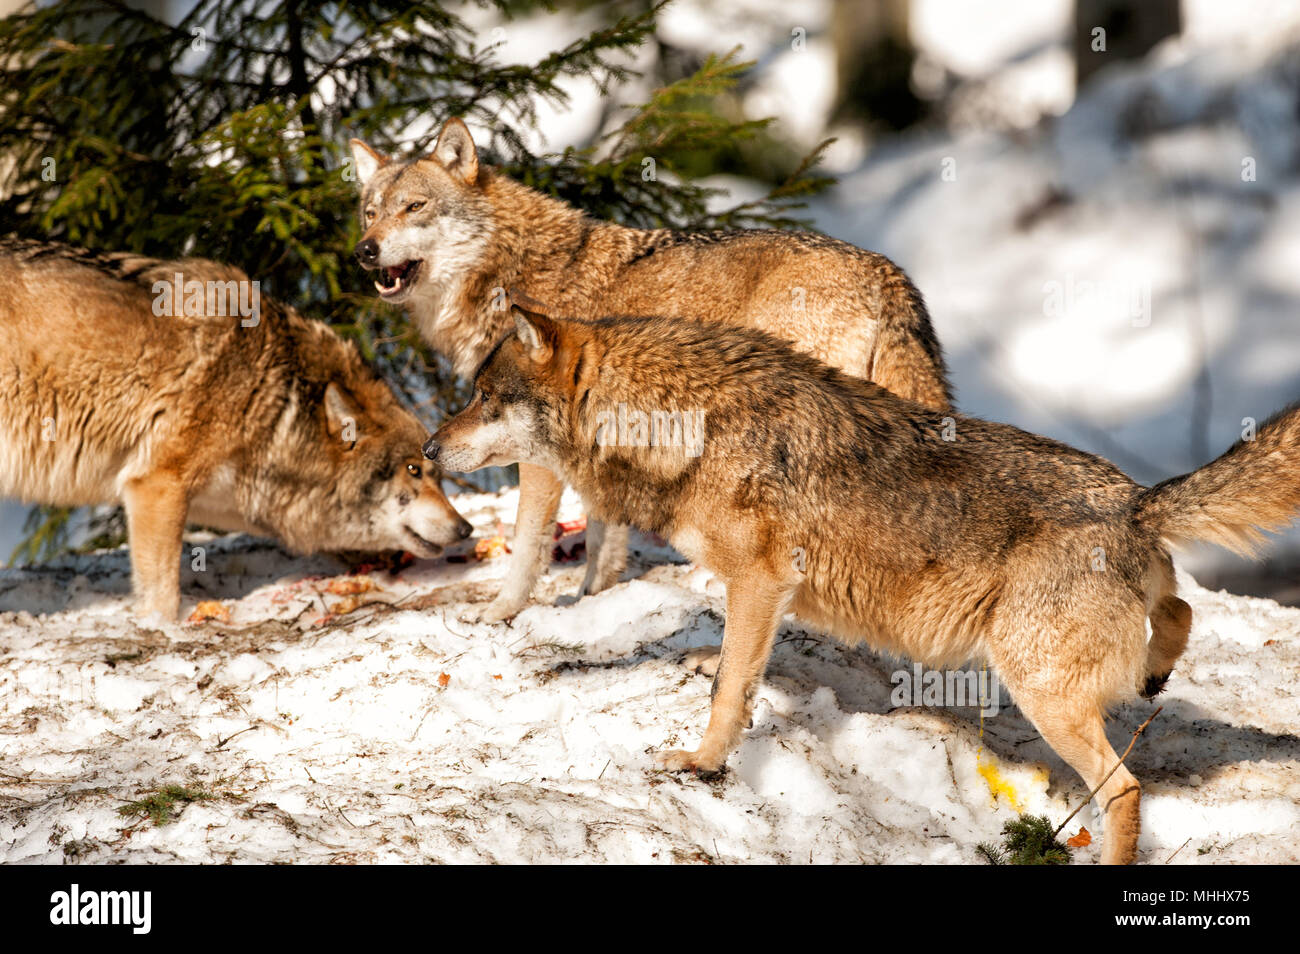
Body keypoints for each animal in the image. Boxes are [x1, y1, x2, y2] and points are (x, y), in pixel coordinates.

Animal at [0, 239, 473, 620]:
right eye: (413, 471)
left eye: (438, 476)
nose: (466, 529)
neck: (275, 397)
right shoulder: (157, 485)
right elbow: (161, 598)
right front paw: (164, 634)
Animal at [349, 117, 951, 622]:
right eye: (371, 212)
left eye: (415, 207)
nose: (364, 251)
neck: (503, 273)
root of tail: (886, 272)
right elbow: (602, 536)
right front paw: (594, 597)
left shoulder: (540, 454)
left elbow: (527, 545)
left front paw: (500, 612)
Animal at [425, 297, 1300, 864]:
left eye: (485, 398)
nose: (428, 451)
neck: (682, 424)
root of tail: (1135, 500)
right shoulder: (764, 593)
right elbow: (736, 662)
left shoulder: (760, 578)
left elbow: (730, 692)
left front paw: (703, 762)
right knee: (1179, 611)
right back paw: (1154, 675)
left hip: (1039, 689)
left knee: (1125, 791)